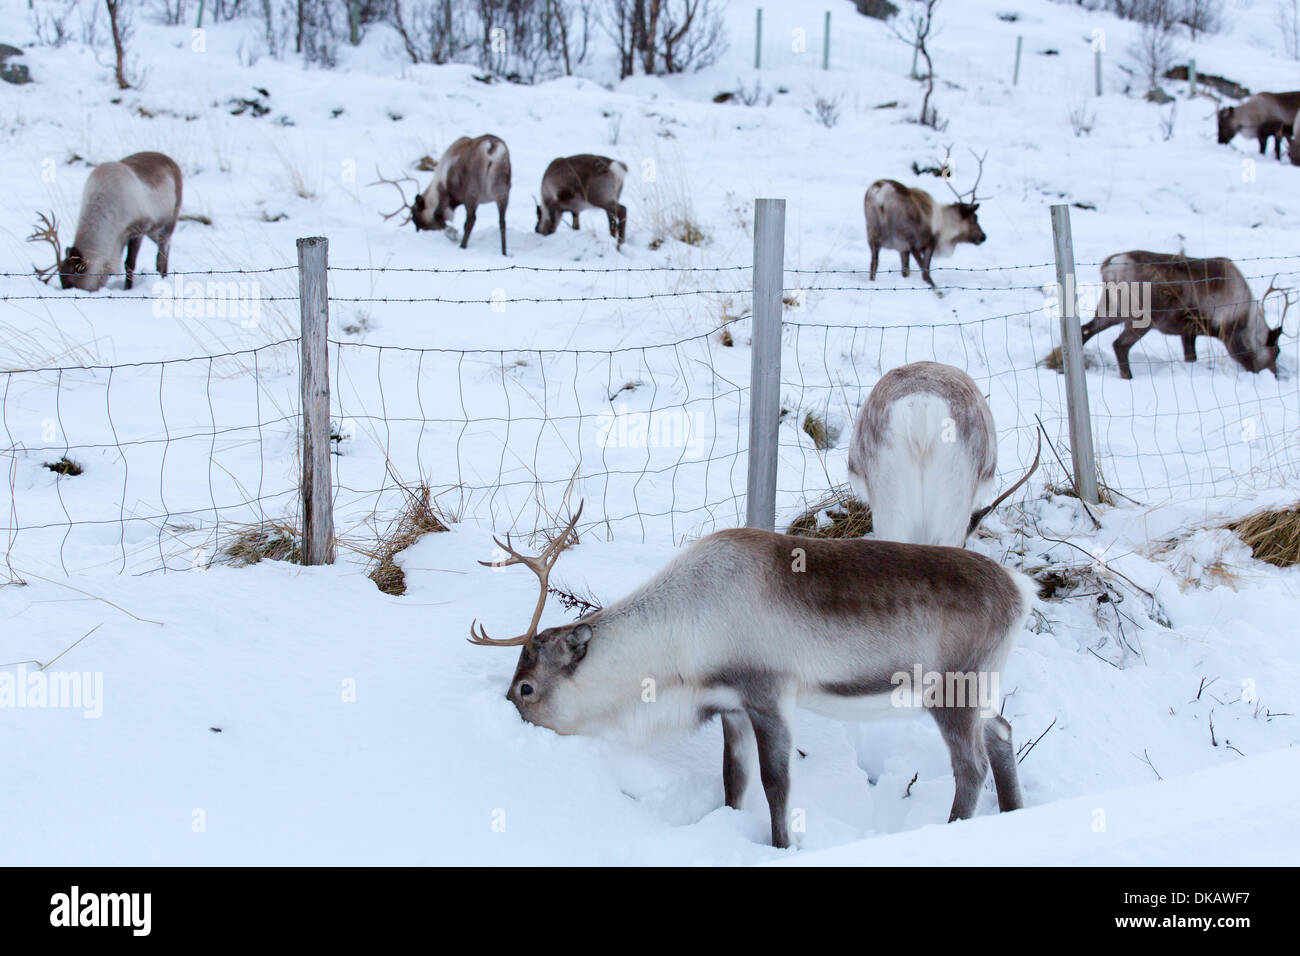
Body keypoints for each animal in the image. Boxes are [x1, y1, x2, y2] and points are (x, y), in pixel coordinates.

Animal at [29, 151, 182, 292]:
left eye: (72, 280)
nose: (67, 290)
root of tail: (171, 161)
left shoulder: (138, 228)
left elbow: (129, 264)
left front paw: (127, 289)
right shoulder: (117, 241)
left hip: (167, 224)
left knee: (162, 255)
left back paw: (163, 278)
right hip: (154, 232)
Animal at [372, 134, 511, 255]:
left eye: (415, 217)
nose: (418, 231)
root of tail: (491, 148)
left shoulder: (446, 195)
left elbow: (438, 216)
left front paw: (453, 234)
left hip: (472, 193)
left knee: (471, 220)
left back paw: (462, 246)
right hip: (503, 192)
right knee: (502, 221)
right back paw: (504, 252)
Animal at [465, 503, 1035, 849]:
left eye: (526, 687)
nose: (510, 718)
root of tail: (1021, 589)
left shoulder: (769, 694)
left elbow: (776, 783)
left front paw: (782, 846)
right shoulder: (731, 706)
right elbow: (733, 779)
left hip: (953, 690)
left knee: (971, 767)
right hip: (983, 689)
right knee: (1003, 733)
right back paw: (1014, 815)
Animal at [864, 147, 987, 291]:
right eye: (975, 218)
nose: (983, 236)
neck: (947, 228)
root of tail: (881, 194)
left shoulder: (903, 250)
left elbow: (905, 271)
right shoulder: (928, 243)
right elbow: (925, 270)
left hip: (873, 235)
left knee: (873, 266)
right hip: (909, 238)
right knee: (924, 273)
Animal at [1079, 252, 1290, 380]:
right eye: (1276, 351)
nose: (1276, 376)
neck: (1246, 319)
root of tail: (1110, 267)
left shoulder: (1188, 331)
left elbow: (1191, 356)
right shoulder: (1226, 333)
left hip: (1110, 310)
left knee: (1085, 330)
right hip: (1141, 319)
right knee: (1120, 345)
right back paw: (1128, 377)